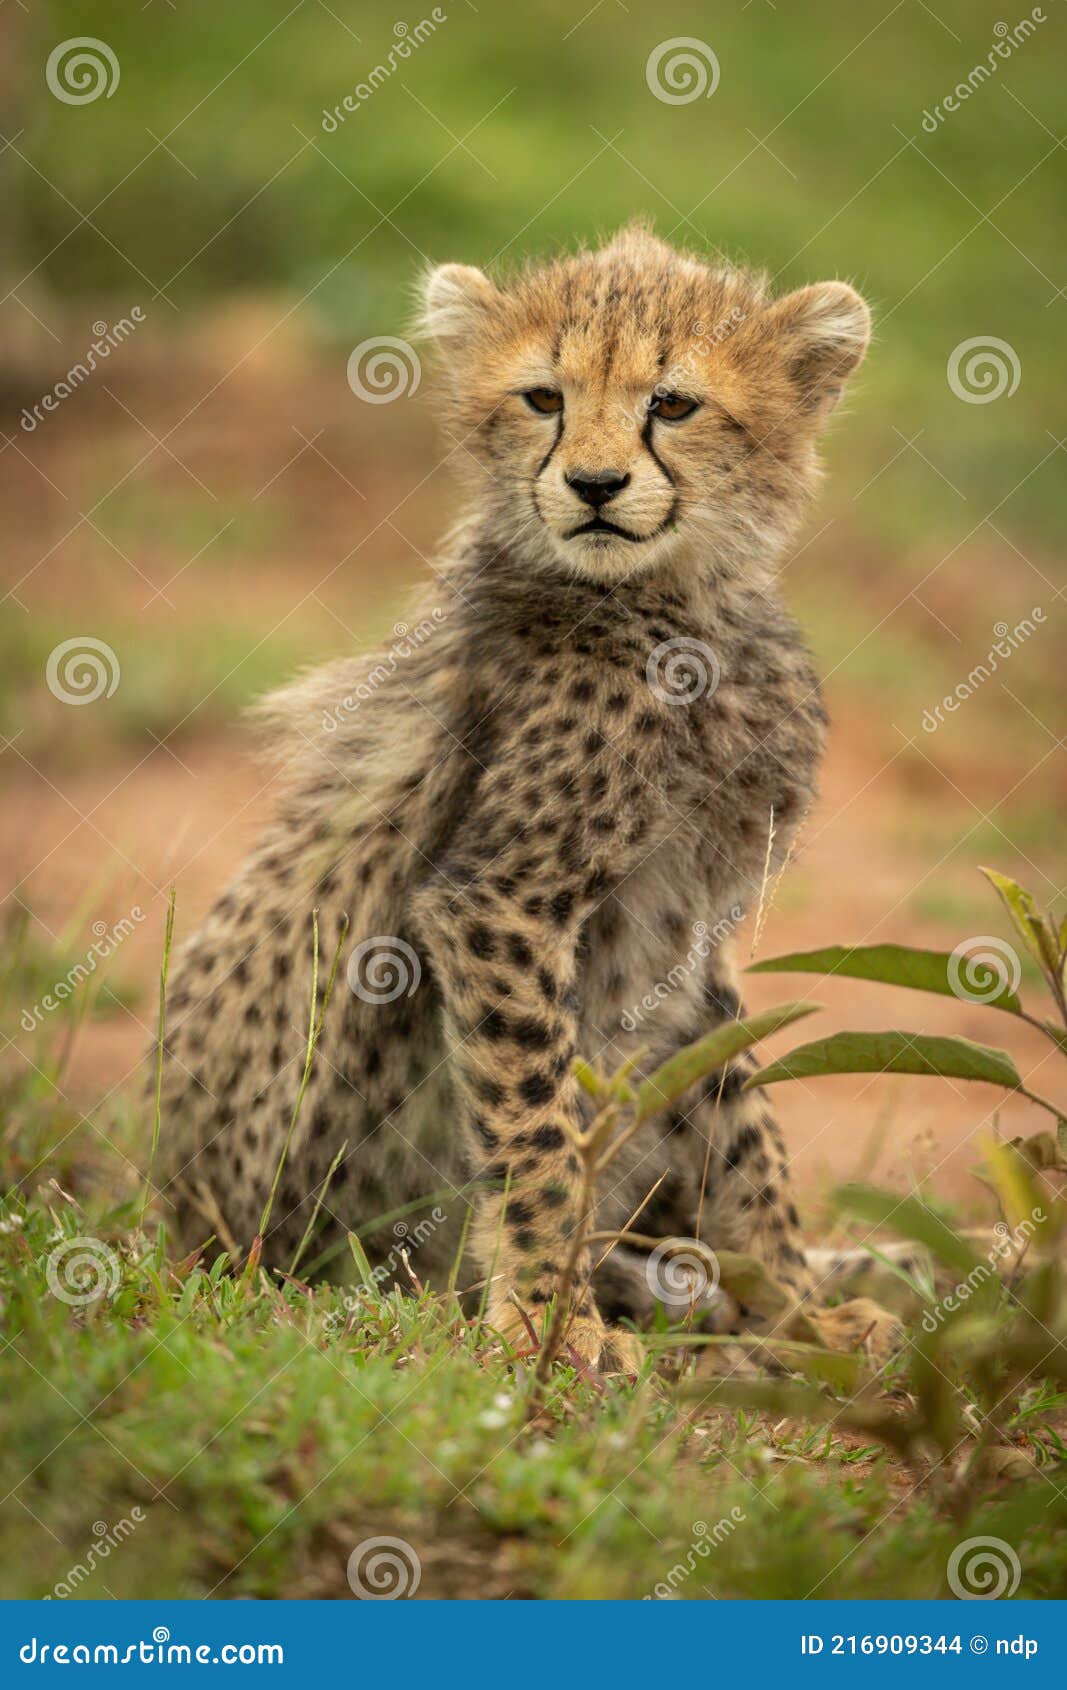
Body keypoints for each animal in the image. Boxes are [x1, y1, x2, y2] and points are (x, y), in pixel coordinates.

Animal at [153, 223, 894, 1372]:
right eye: (543, 398)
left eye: (672, 403)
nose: (591, 483)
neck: (681, 608)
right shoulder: (496, 901)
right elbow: (536, 1121)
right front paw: (551, 1319)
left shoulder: (692, 928)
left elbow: (740, 1120)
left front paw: (796, 1310)